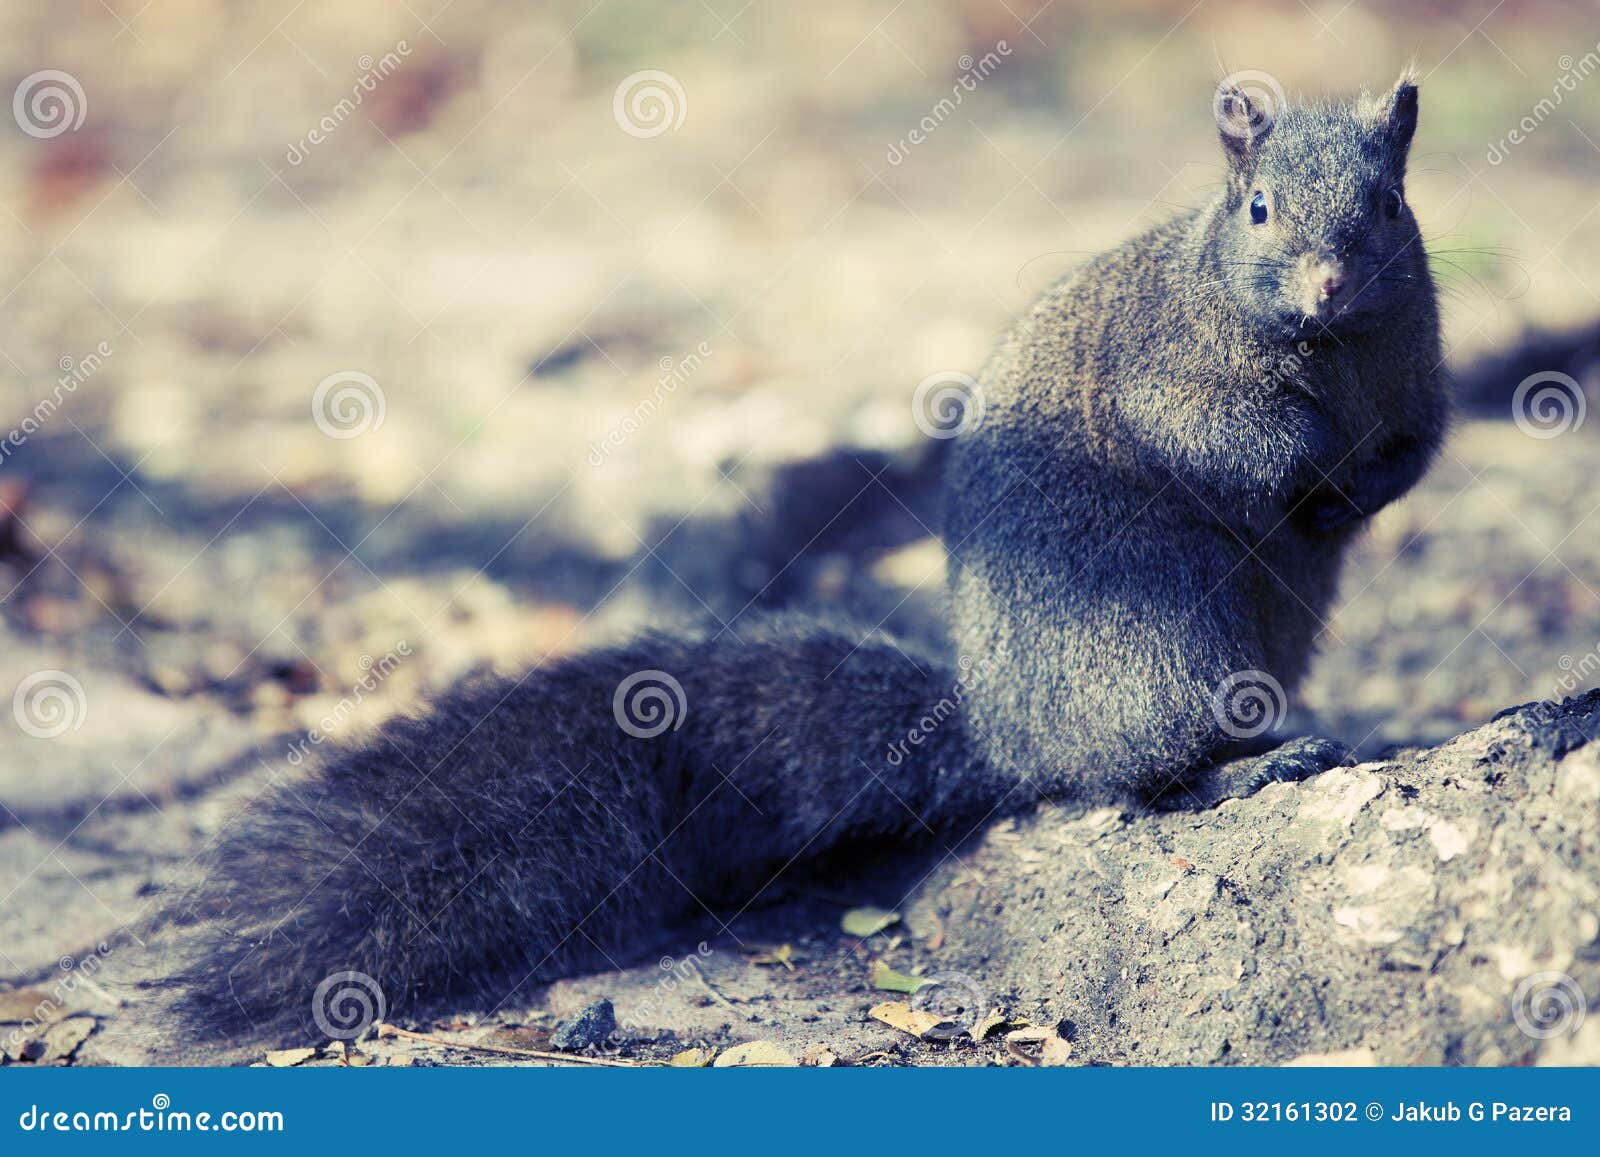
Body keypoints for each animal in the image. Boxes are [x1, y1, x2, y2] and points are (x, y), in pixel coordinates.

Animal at [165, 72, 1448, 1042]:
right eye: (1260, 208)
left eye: (1388, 201)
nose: (1329, 280)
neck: (1328, 347)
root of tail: (1003, 730)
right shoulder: (1163, 362)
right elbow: (1213, 435)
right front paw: (1308, 462)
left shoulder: (1416, 375)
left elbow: (1415, 447)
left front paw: (1357, 490)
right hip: (1151, 636)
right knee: (1130, 782)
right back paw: (1247, 766)